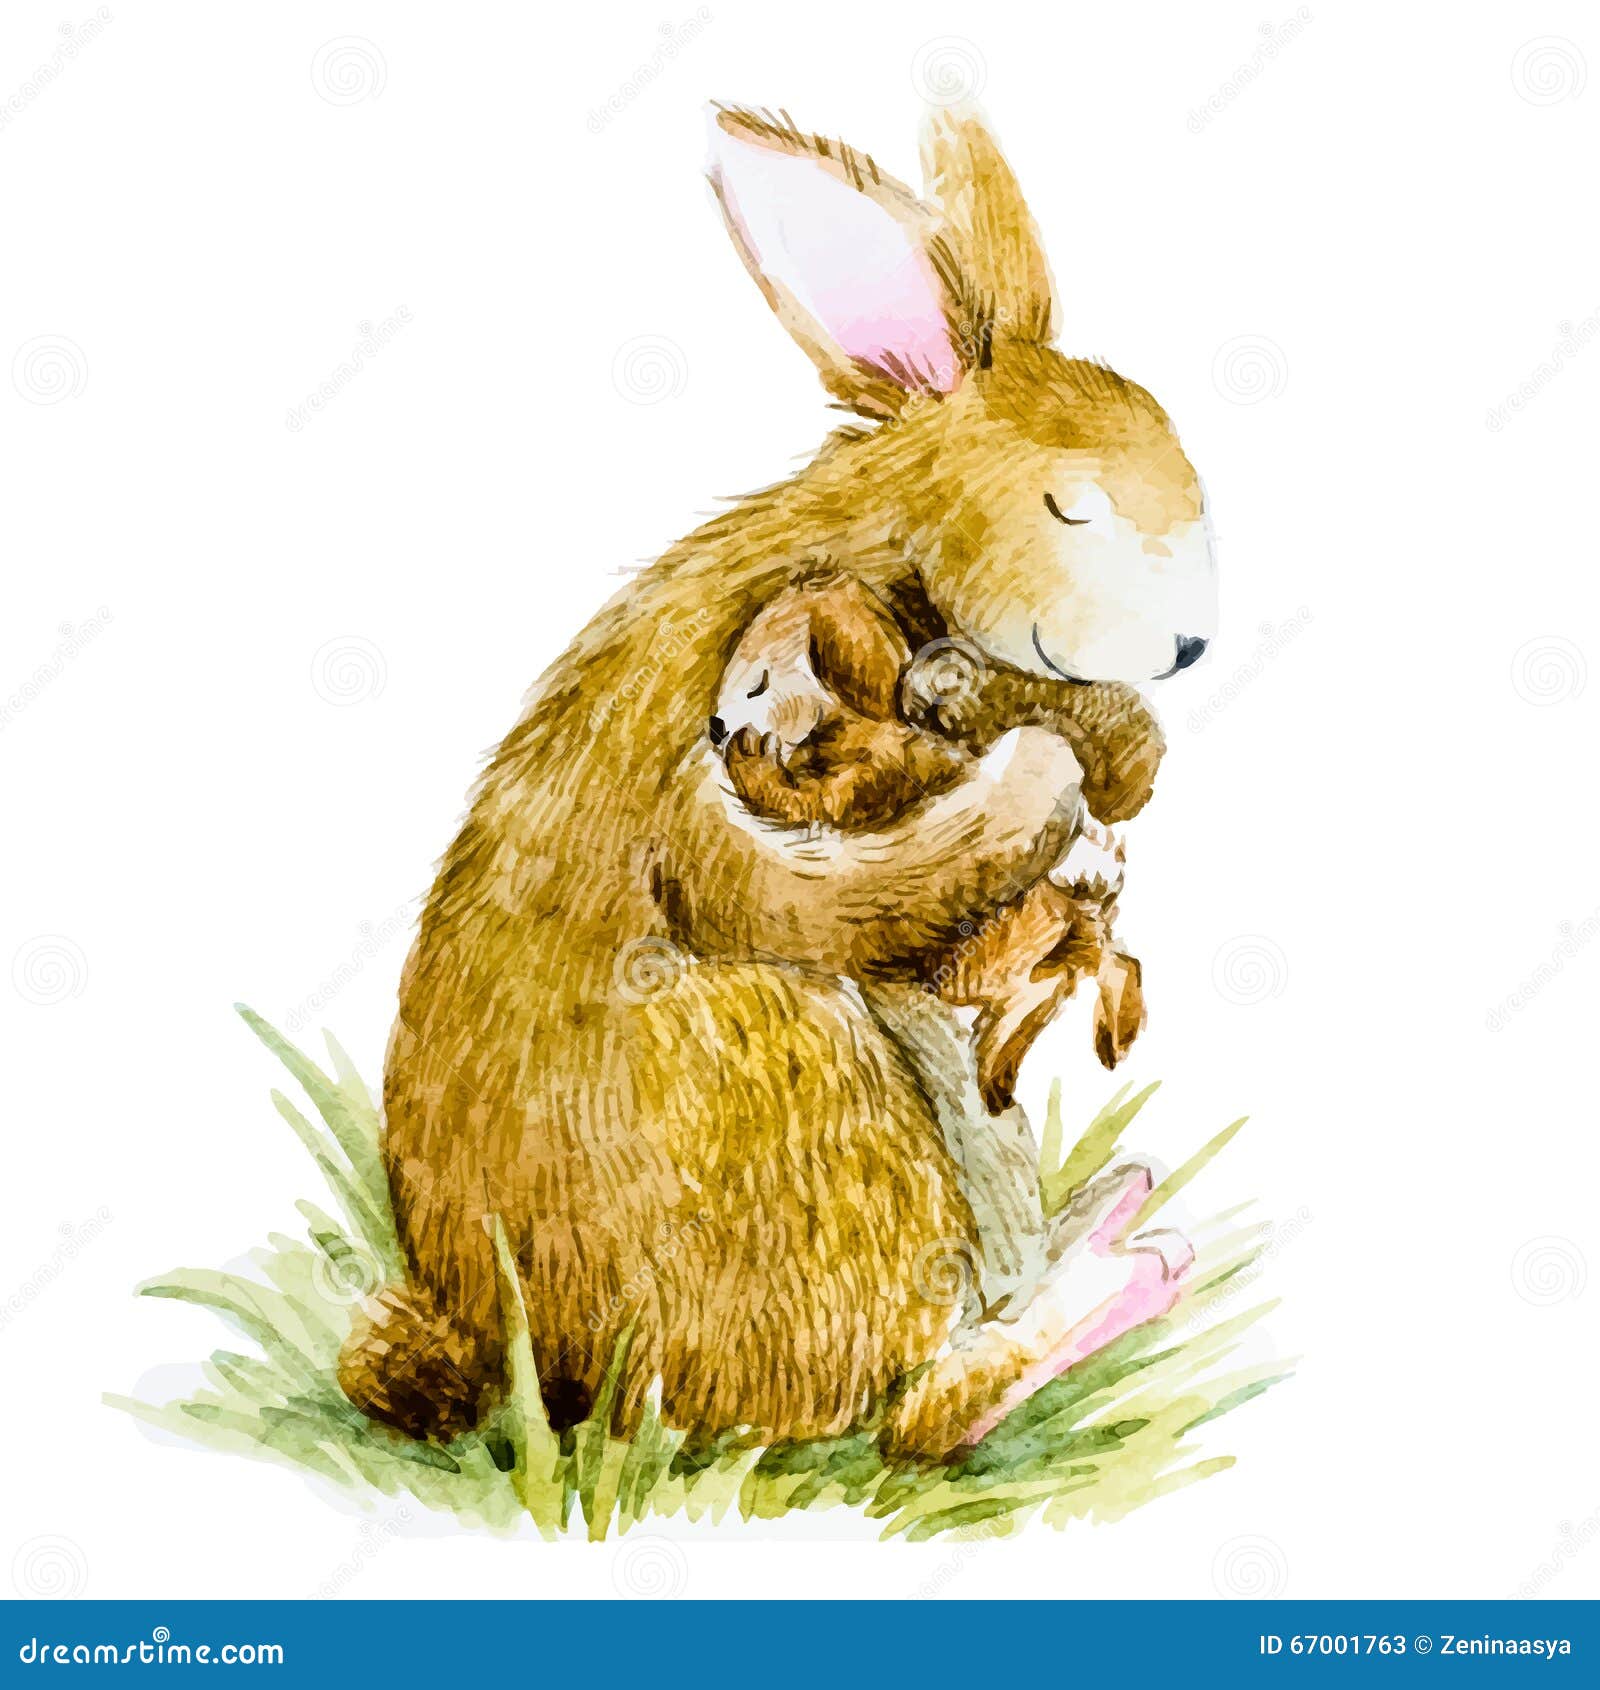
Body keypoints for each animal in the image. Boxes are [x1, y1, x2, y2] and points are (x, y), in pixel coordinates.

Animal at [340, 102, 1215, 1461]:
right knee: (908, 1417)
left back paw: (1102, 1223)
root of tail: (495, 1332)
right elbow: (831, 880)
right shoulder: (746, 794)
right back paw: (1112, 1284)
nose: (1188, 646)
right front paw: (1047, 775)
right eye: (1072, 505)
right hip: (822, 1104)